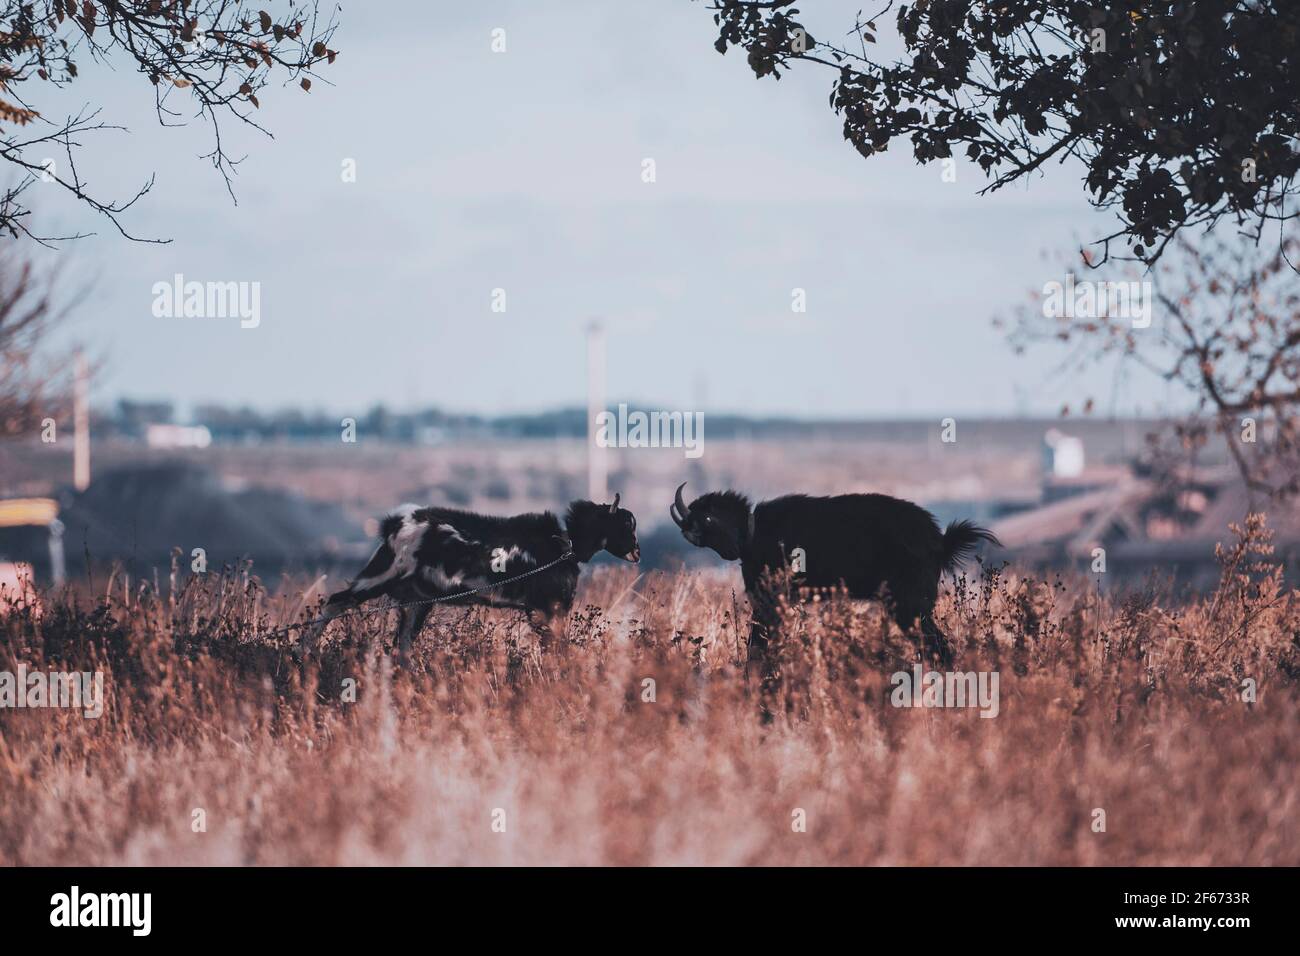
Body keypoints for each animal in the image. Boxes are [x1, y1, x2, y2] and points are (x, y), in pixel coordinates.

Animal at [299, 495, 639, 660]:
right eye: (626, 524)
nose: (637, 552)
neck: (564, 545)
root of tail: (395, 524)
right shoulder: (545, 608)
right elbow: (556, 646)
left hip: (417, 600)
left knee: (403, 640)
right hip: (382, 574)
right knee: (337, 600)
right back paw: (303, 649)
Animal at [670, 483, 998, 667]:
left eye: (709, 517)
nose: (730, 550)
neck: (756, 529)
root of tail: (939, 540)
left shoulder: (771, 602)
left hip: (910, 605)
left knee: (936, 644)